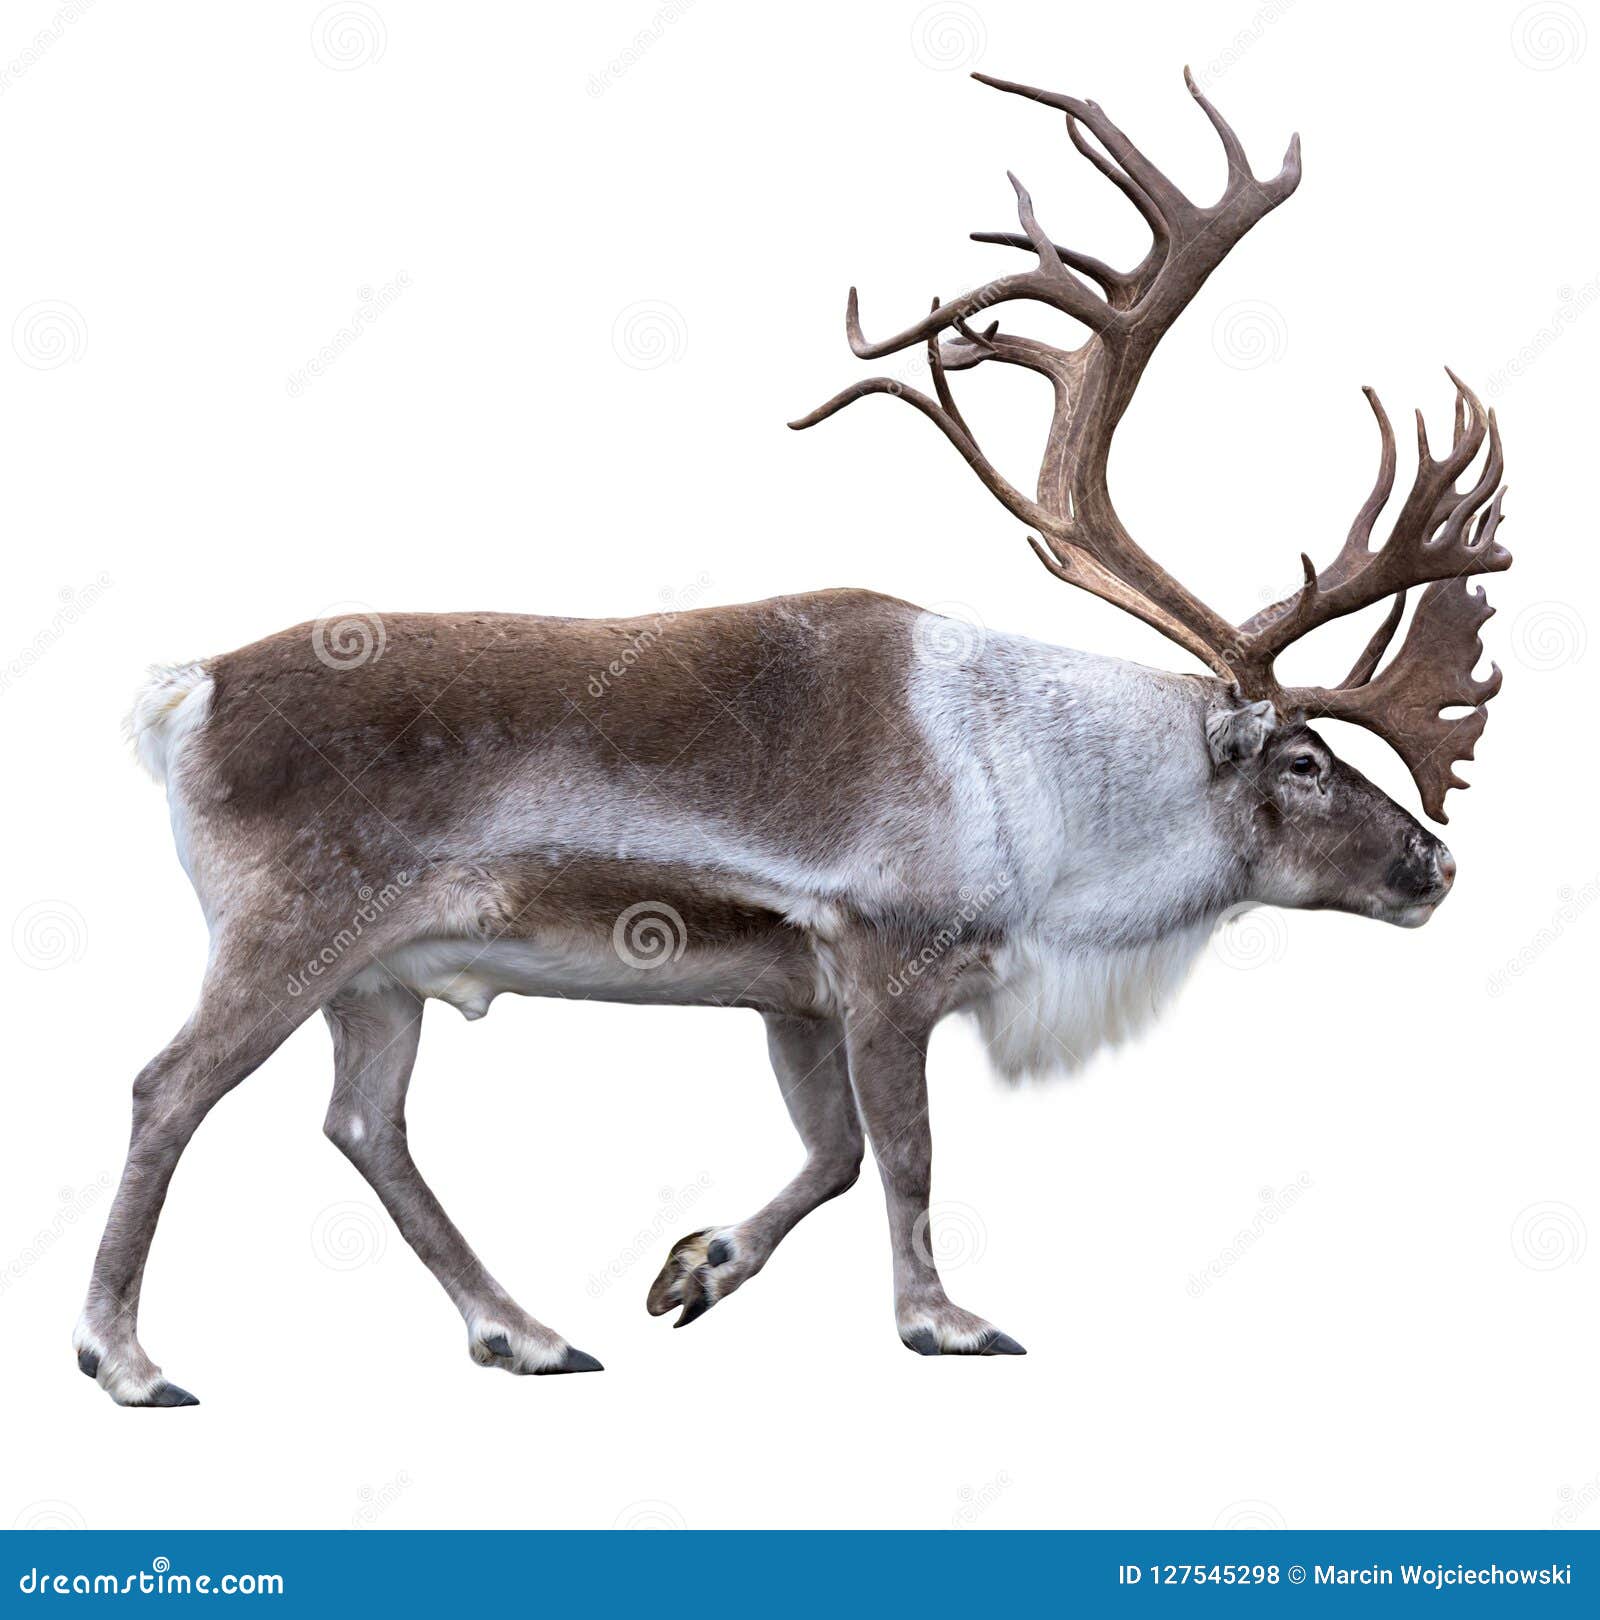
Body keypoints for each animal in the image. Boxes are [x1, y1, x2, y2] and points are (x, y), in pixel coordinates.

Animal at [77, 68, 1509, 1406]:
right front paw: (942, 1322)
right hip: (287, 931)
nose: (1434, 863)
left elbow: (832, 1154)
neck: (1046, 800)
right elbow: (908, 1155)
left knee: (365, 1126)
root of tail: (191, 689)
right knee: (169, 1087)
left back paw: (526, 1334)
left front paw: (695, 1267)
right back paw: (126, 1358)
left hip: (380, 975)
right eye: (1305, 763)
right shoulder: (885, 958)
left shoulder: (791, 990)